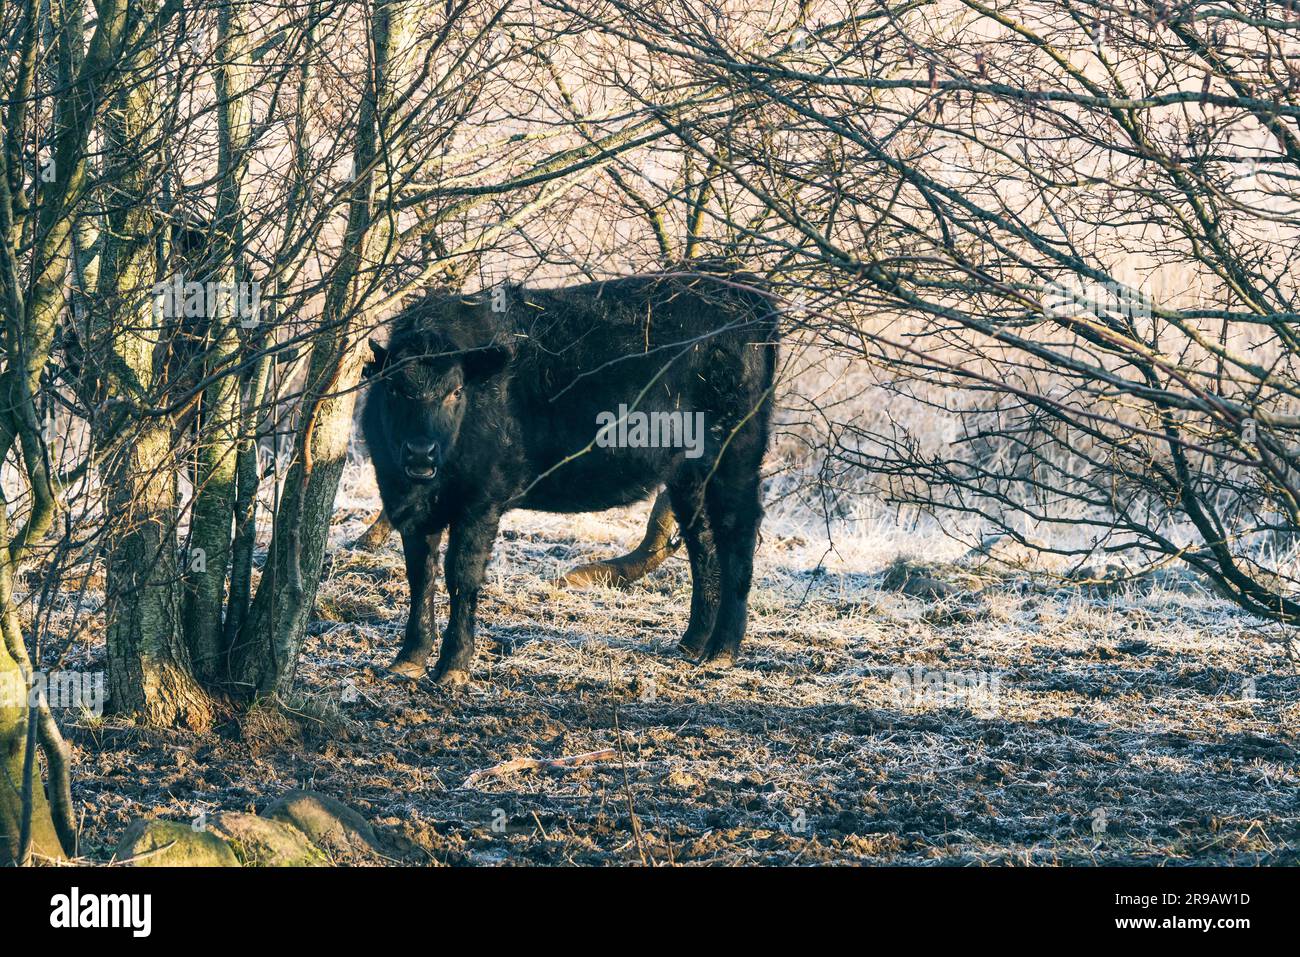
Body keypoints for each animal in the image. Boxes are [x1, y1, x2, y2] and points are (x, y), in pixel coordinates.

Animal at [361, 269, 778, 687]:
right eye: (394, 388)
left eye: (456, 391)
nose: (420, 452)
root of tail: (743, 291)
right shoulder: (408, 504)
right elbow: (421, 575)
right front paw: (409, 658)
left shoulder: (479, 502)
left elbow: (461, 576)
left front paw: (453, 665)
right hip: (689, 475)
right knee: (702, 542)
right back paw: (694, 642)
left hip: (734, 456)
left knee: (737, 535)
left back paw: (723, 650)